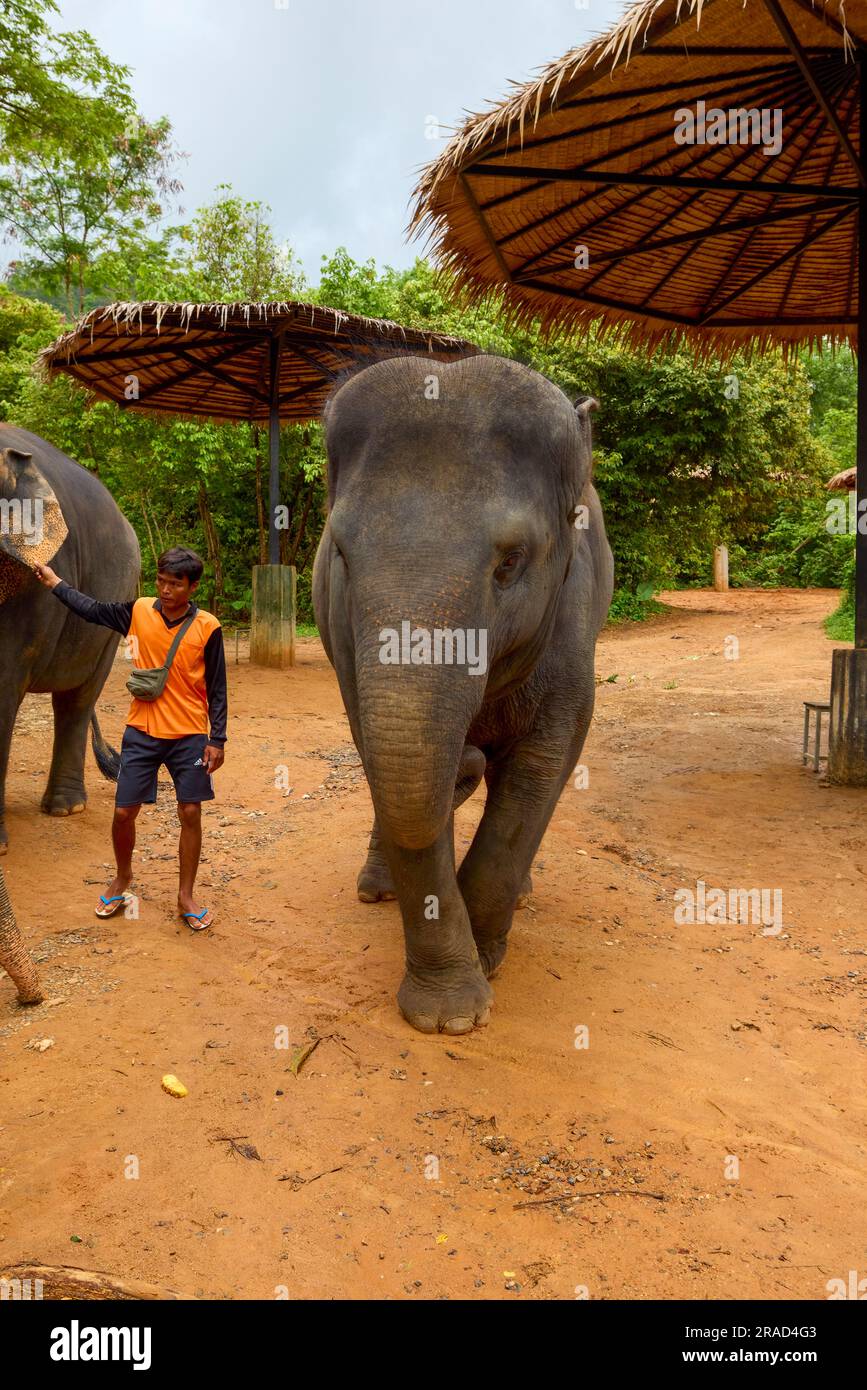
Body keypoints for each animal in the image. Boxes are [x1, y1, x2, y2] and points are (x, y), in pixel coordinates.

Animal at [313, 353, 614, 1035]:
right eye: (341, 553)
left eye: (510, 563)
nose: (469, 757)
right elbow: (389, 761)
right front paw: (448, 1015)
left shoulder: (572, 624)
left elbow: (543, 765)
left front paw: (487, 957)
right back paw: (377, 888)